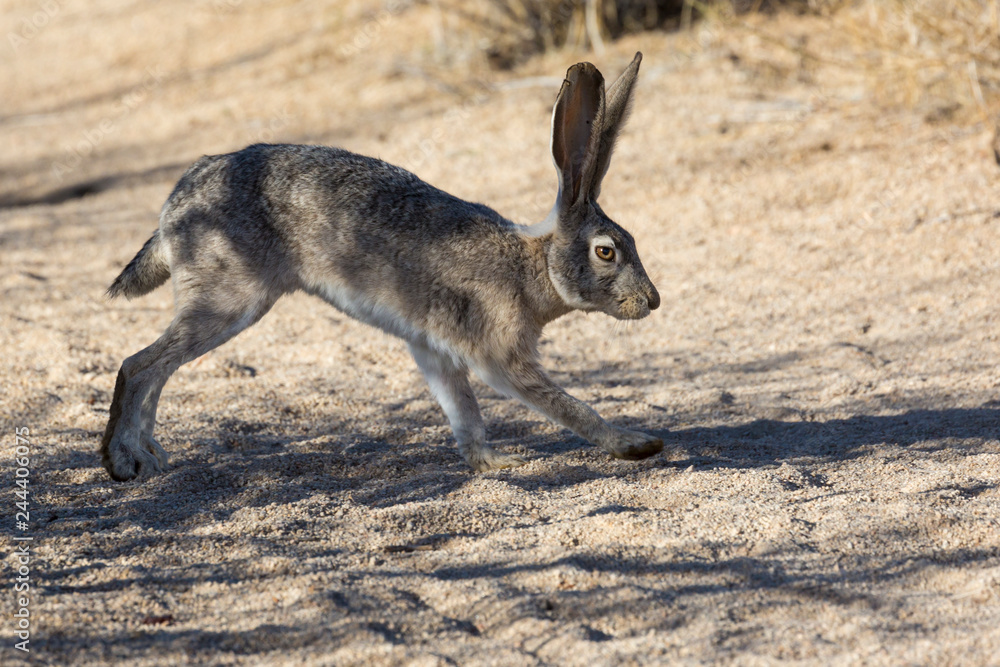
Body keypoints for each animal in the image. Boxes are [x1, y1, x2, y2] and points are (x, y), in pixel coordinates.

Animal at [101, 52, 662, 482]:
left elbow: (464, 413)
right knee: (138, 365)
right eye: (607, 251)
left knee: (156, 370)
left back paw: (149, 456)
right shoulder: (499, 356)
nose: (652, 301)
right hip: (229, 298)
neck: (534, 265)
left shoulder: (435, 351)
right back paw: (122, 462)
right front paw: (635, 444)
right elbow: (567, 405)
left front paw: (491, 464)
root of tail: (175, 205)